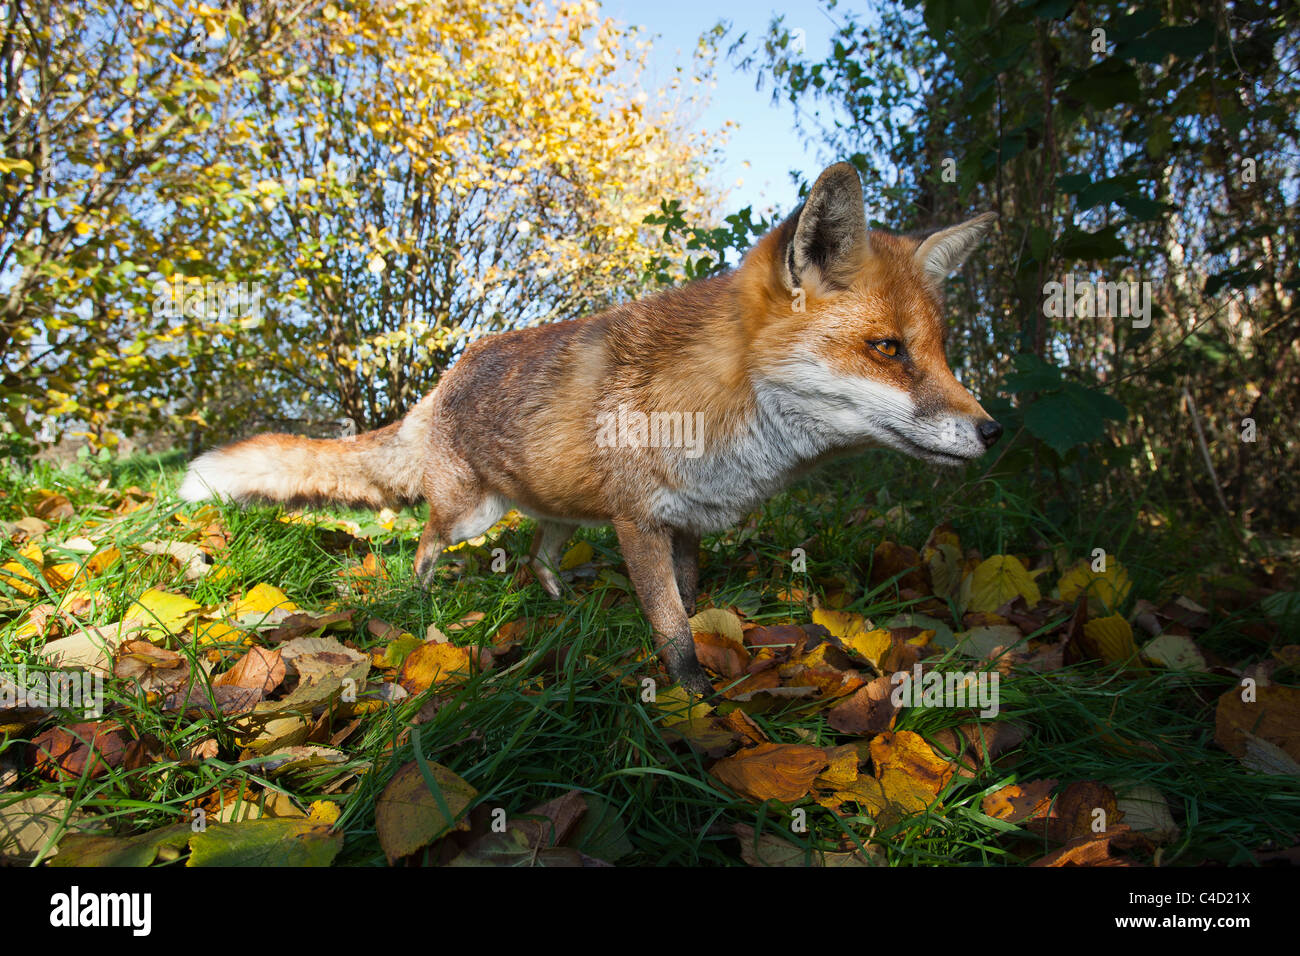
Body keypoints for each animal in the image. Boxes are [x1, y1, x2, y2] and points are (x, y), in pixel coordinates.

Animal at [179, 162, 1002, 697]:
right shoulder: (639, 522)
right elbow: (670, 625)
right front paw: (694, 697)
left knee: (538, 557)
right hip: (473, 514)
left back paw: (559, 607)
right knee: (424, 540)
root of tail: (443, 380)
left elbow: (688, 601)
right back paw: (423, 602)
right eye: (888, 349)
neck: (718, 406)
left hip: (561, 515)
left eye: (941, 351)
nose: (993, 432)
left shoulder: (685, 522)